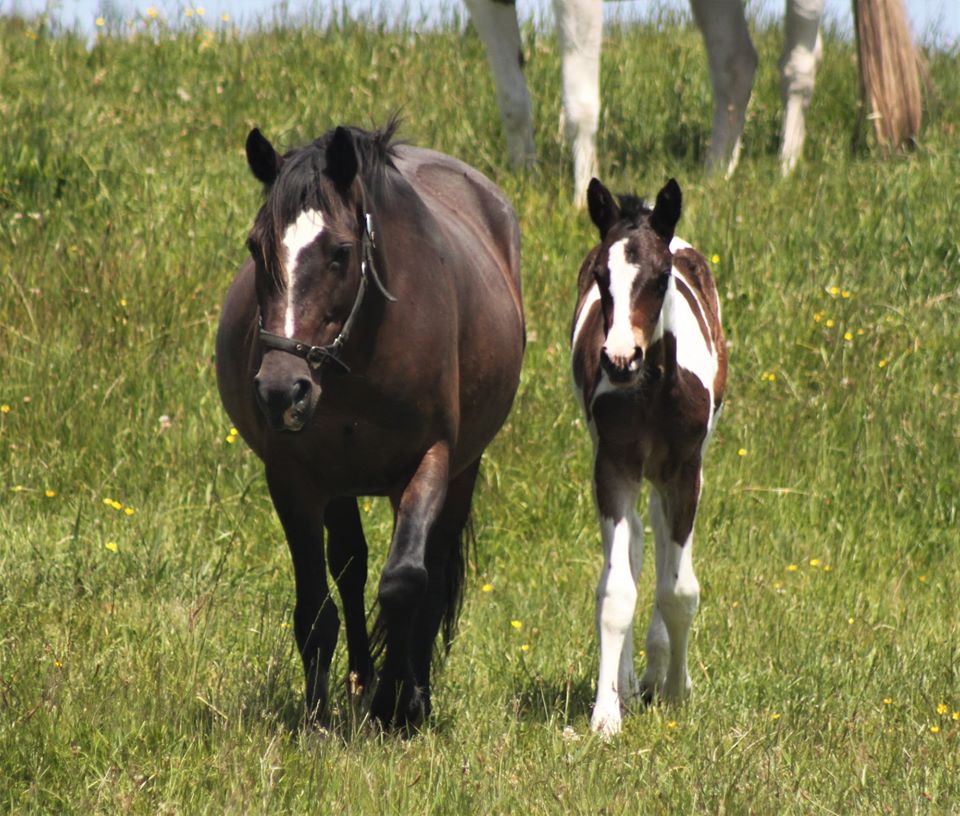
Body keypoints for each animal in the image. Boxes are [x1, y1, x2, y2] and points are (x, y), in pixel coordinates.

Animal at [215, 119, 525, 729]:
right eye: (255, 247)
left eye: (339, 252)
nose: (281, 390)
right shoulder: (295, 479)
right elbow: (317, 608)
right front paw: (319, 717)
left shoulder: (431, 461)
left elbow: (407, 582)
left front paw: (398, 704)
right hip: (340, 481)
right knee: (350, 567)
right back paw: (359, 680)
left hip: (462, 470)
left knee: (428, 567)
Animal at [464, 0, 922, 207]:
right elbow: (512, 98)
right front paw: (521, 179)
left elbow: (579, 104)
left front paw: (581, 202)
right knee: (736, 64)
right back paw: (715, 173)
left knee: (798, 65)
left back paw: (785, 168)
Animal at [570, 176, 726, 736]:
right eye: (600, 276)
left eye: (661, 279)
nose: (620, 360)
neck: (655, 392)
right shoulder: (613, 465)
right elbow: (616, 590)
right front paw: (606, 713)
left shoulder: (684, 470)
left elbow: (679, 590)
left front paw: (678, 693)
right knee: (637, 540)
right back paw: (632, 684)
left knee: (658, 534)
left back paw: (658, 673)